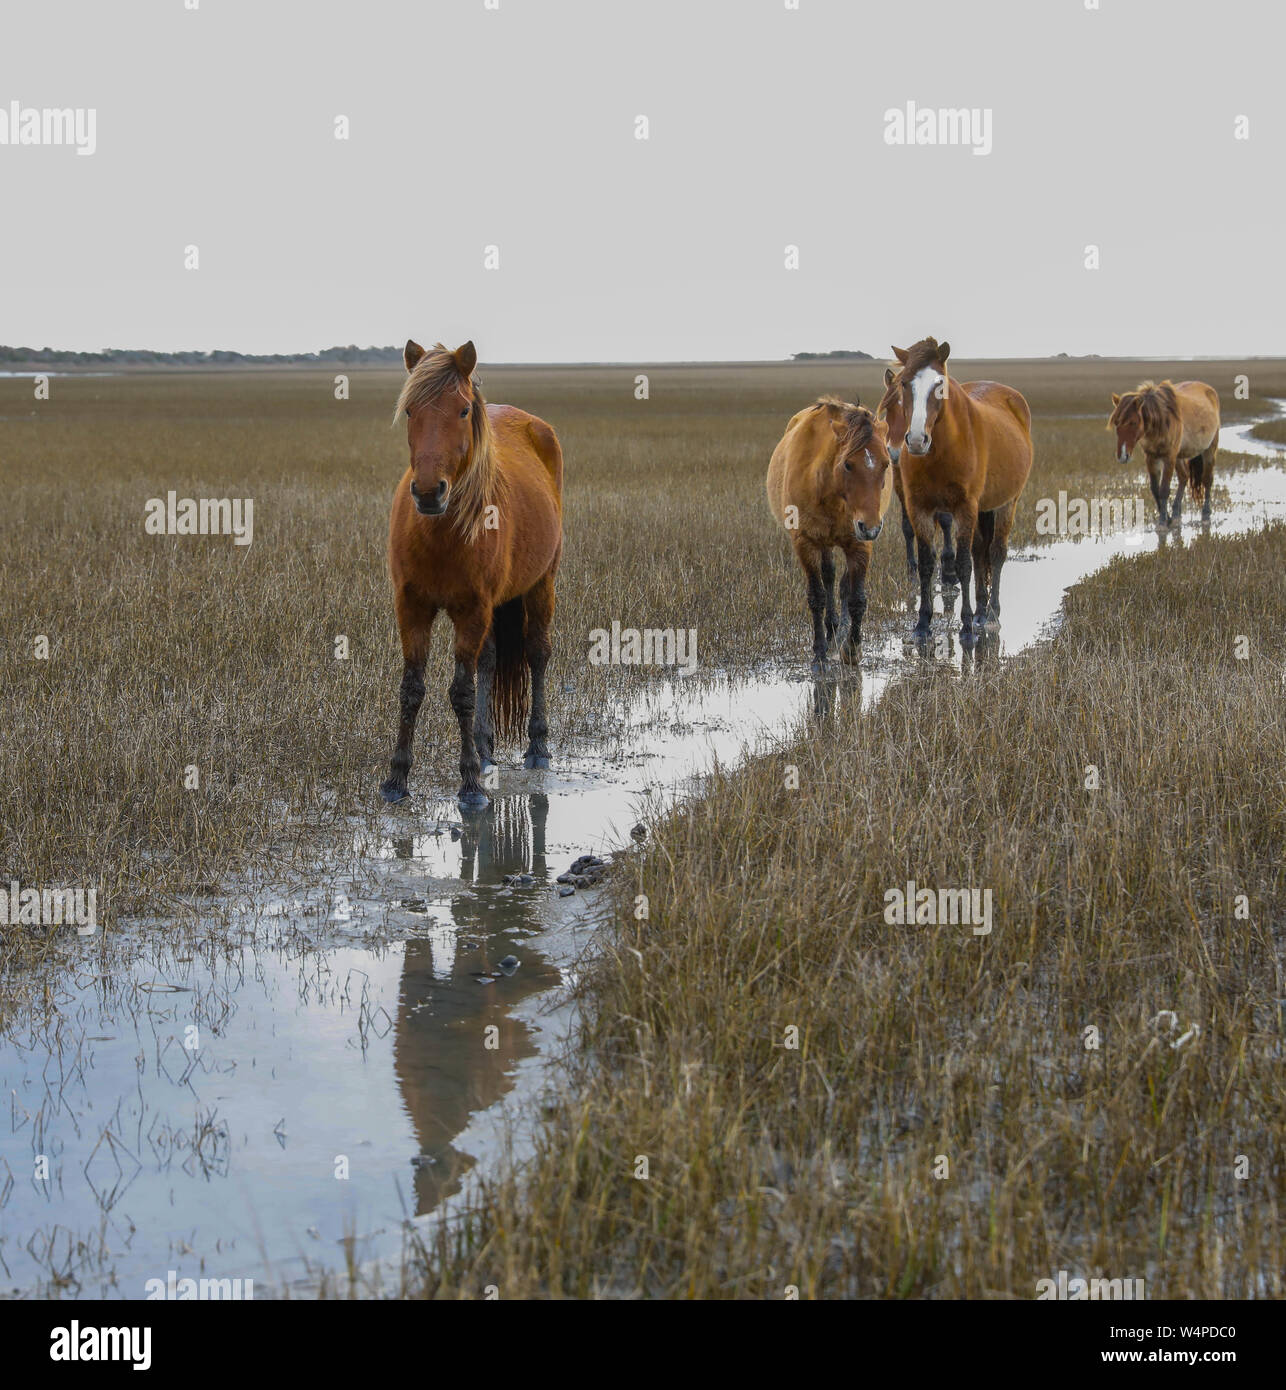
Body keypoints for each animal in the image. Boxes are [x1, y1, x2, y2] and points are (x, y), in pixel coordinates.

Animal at [381, 339, 564, 810]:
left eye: (463, 410)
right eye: (410, 410)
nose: (429, 492)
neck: (440, 532)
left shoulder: (472, 609)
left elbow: (461, 692)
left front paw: (469, 787)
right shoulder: (412, 607)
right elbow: (412, 688)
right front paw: (396, 779)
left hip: (541, 584)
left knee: (537, 653)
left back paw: (537, 747)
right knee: (490, 660)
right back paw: (484, 749)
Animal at [766, 396, 893, 670]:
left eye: (886, 463)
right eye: (848, 464)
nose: (871, 527)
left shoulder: (859, 545)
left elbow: (857, 598)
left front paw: (852, 650)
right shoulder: (805, 543)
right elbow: (817, 596)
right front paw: (819, 652)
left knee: (841, 583)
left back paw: (839, 631)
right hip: (823, 542)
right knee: (828, 576)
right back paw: (831, 629)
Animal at [879, 365, 957, 583]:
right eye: (888, 409)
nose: (895, 452)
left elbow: (945, 520)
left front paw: (948, 569)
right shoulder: (902, 486)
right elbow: (908, 527)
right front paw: (912, 568)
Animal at [887, 337, 1034, 640]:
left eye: (939, 384)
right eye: (904, 383)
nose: (916, 440)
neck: (940, 452)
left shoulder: (965, 508)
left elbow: (964, 564)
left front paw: (966, 625)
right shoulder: (919, 507)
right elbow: (927, 563)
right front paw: (922, 623)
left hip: (1007, 503)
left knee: (996, 552)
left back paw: (991, 613)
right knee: (980, 552)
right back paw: (981, 611)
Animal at [1109, 380, 1220, 525]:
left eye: (1133, 422)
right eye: (1116, 423)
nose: (1122, 455)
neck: (1160, 422)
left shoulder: (1169, 457)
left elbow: (1164, 489)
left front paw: (1162, 521)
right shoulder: (1151, 457)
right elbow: (1155, 489)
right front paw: (1167, 517)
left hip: (1209, 449)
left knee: (1207, 479)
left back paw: (1206, 512)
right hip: (1179, 456)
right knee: (1184, 477)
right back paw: (1176, 511)